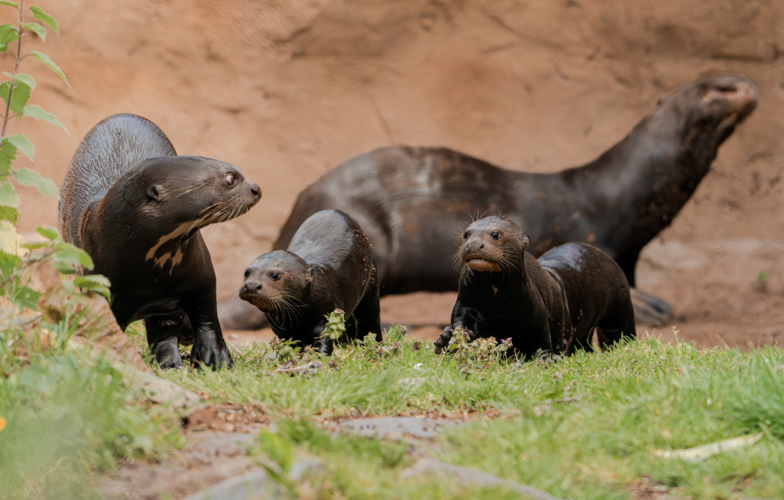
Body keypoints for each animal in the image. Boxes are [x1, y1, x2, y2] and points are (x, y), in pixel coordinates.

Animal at [59, 114, 261, 369]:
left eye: (238, 171)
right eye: (231, 178)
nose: (256, 188)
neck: (153, 275)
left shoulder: (202, 275)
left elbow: (208, 317)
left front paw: (216, 359)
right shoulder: (106, 290)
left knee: (165, 328)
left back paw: (170, 362)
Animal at [218, 74, 758, 330]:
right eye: (718, 88)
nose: (750, 87)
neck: (626, 195)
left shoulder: (630, 250)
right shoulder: (589, 230)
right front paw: (650, 307)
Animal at [239, 209, 381, 354]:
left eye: (275, 275)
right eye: (246, 272)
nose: (251, 285)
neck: (299, 320)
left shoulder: (326, 317)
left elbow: (324, 340)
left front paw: (320, 356)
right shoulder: (281, 331)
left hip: (371, 282)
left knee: (370, 318)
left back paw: (371, 343)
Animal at [433, 217, 636, 357]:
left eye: (495, 234)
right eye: (466, 233)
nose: (474, 244)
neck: (497, 304)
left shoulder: (535, 311)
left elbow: (540, 336)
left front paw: (546, 358)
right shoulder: (467, 302)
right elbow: (462, 321)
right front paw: (447, 339)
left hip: (619, 308)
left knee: (621, 333)